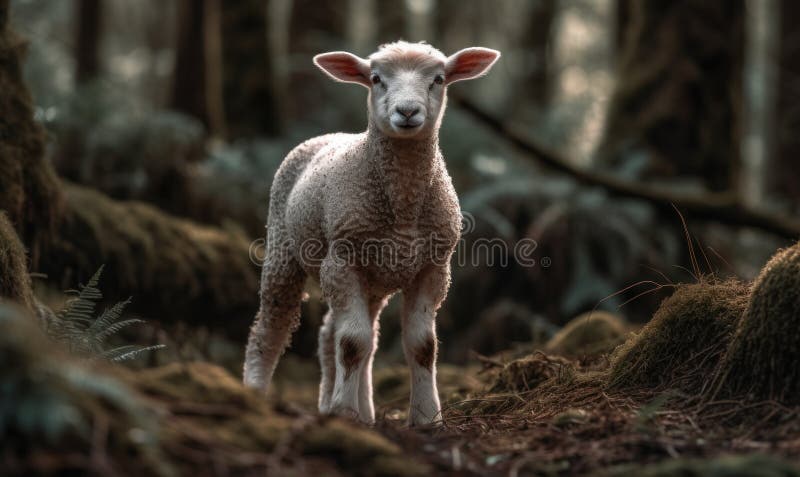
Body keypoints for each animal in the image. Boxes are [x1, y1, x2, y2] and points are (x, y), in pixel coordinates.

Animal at [243, 41, 500, 426]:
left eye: (439, 79)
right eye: (376, 79)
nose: (407, 111)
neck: (404, 206)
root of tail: (331, 136)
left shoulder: (433, 267)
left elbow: (422, 346)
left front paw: (426, 418)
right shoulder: (343, 258)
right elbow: (353, 342)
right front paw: (344, 412)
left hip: (374, 277)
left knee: (336, 335)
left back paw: (356, 410)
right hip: (284, 251)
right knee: (272, 327)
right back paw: (256, 393)